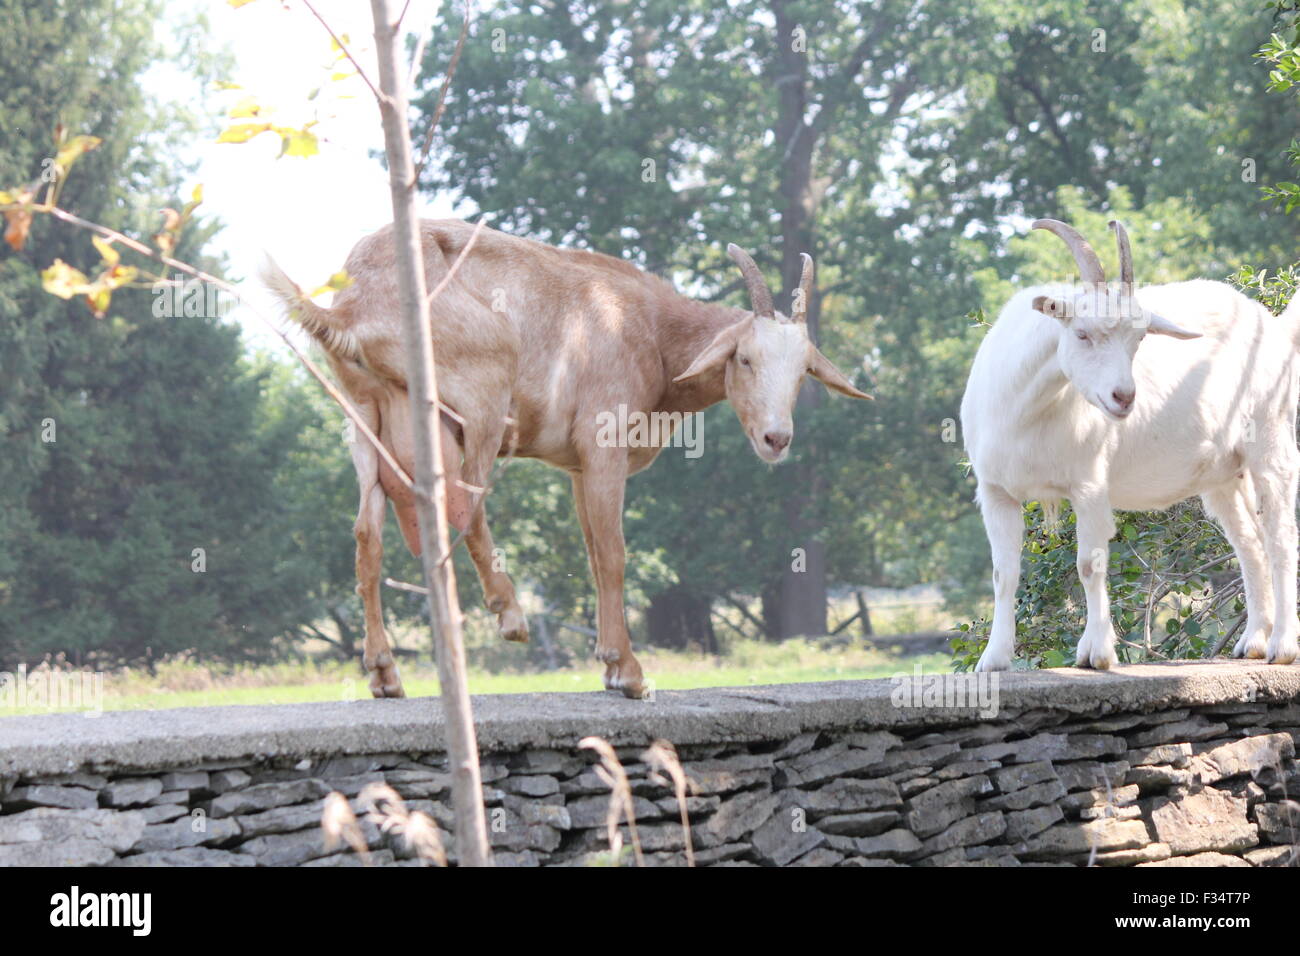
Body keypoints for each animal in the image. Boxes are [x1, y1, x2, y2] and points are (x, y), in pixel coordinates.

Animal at [262, 219, 870, 698]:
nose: (776, 438)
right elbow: (615, 553)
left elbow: (595, 552)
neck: (650, 331)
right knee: (465, 501)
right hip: (481, 394)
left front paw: (608, 662)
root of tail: (352, 308)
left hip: (364, 422)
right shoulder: (604, 444)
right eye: (744, 358)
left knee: (368, 535)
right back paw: (509, 615)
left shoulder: (578, 466)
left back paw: (385, 673)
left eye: (803, 371)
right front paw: (628, 672)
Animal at [960, 218, 1300, 672]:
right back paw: (1253, 641)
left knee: (1280, 536)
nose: (1123, 397)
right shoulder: (996, 491)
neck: (1028, 414)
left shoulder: (1088, 485)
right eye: (1081, 334)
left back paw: (1282, 645)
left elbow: (1090, 564)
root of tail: (1272, 325)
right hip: (1226, 473)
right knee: (1249, 542)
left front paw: (1097, 653)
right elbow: (1003, 573)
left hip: (1272, 438)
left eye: (1138, 340)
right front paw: (994, 658)